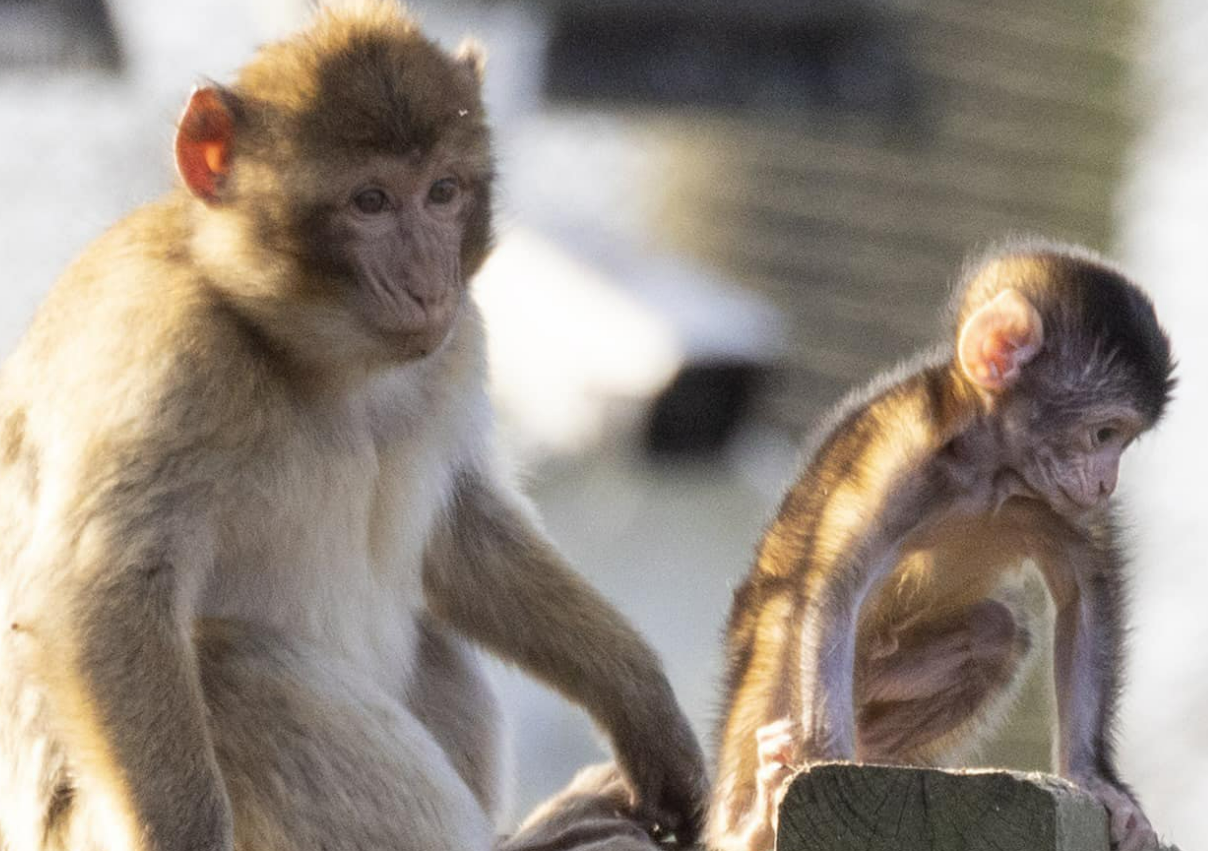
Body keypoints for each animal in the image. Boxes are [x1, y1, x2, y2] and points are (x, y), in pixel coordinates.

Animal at [0, 4, 707, 850]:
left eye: (442, 192)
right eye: (370, 202)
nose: (429, 283)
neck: (315, 357)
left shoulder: (457, 345)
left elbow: (461, 532)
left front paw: (641, 704)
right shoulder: (168, 362)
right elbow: (103, 596)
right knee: (229, 666)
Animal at [707, 244, 1175, 851]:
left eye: (1124, 442)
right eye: (1104, 434)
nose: (1106, 483)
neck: (991, 469)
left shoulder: (1053, 497)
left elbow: (1086, 590)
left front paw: (1096, 780)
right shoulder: (903, 458)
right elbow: (833, 585)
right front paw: (823, 759)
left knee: (995, 631)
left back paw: (868, 748)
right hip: (762, 680)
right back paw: (756, 820)